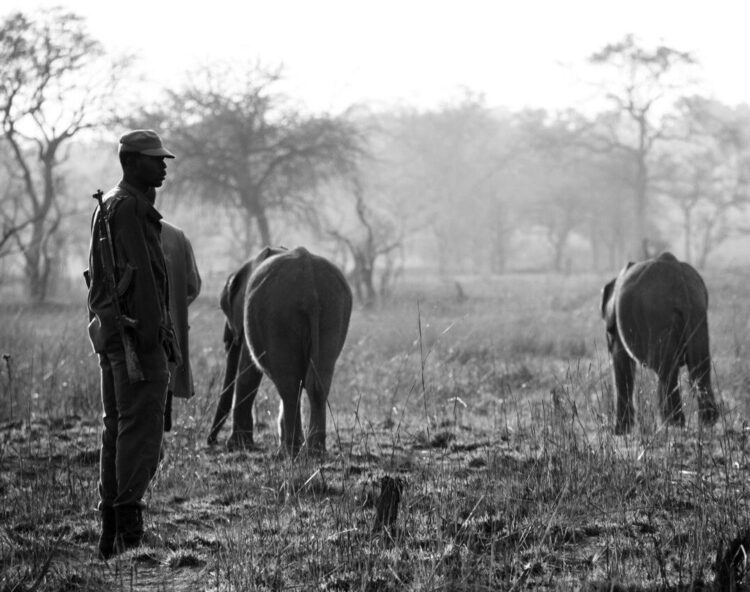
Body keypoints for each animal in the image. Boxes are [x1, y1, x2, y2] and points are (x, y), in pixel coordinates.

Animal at [207, 246, 353, 455]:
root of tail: (310, 288)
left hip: (279, 319)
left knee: (290, 385)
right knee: (317, 383)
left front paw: (236, 445)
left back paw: (288, 452)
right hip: (333, 313)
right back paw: (313, 451)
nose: (211, 441)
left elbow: (248, 372)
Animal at [600, 251, 720, 434]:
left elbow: (622, 363)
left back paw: (673, 424)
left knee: (667, 370)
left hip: (657, 315)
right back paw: (706, 422)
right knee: (699, 369)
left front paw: (619, 432)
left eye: (608, 330)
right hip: (698, 311)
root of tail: (679, 280)